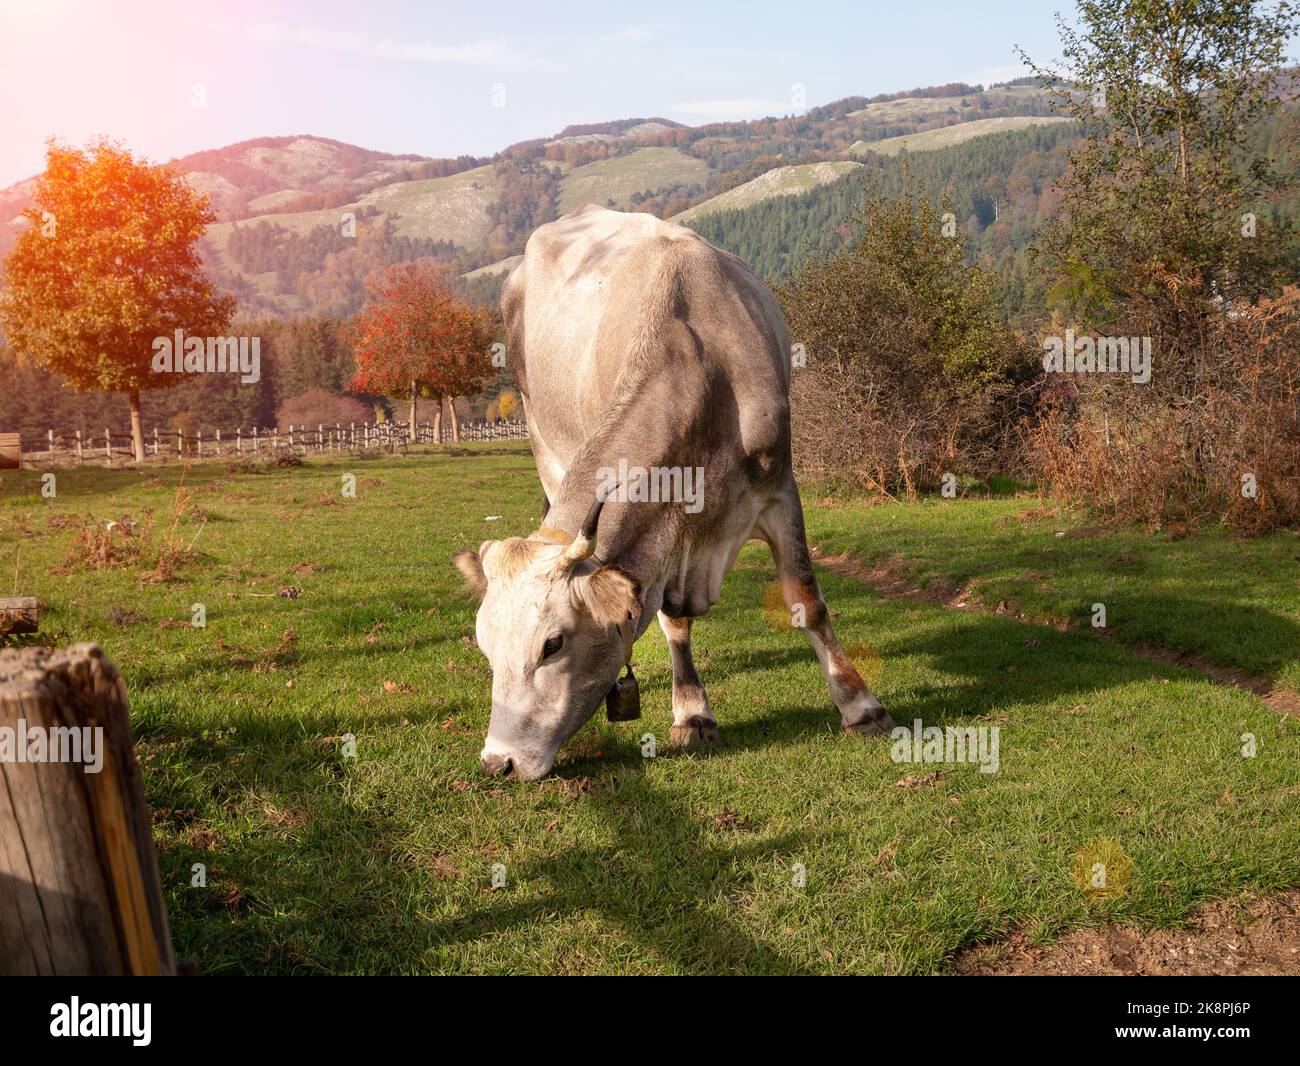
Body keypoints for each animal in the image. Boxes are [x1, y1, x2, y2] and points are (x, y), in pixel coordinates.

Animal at [454, 204, 893, 780]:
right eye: (485, 647)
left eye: (553, 643)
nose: (497, 762)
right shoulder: (660, 539)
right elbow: (673, 619)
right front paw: (692, 712)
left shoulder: (779, 489)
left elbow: (806, 600)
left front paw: (860, 705)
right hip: (542, 439)